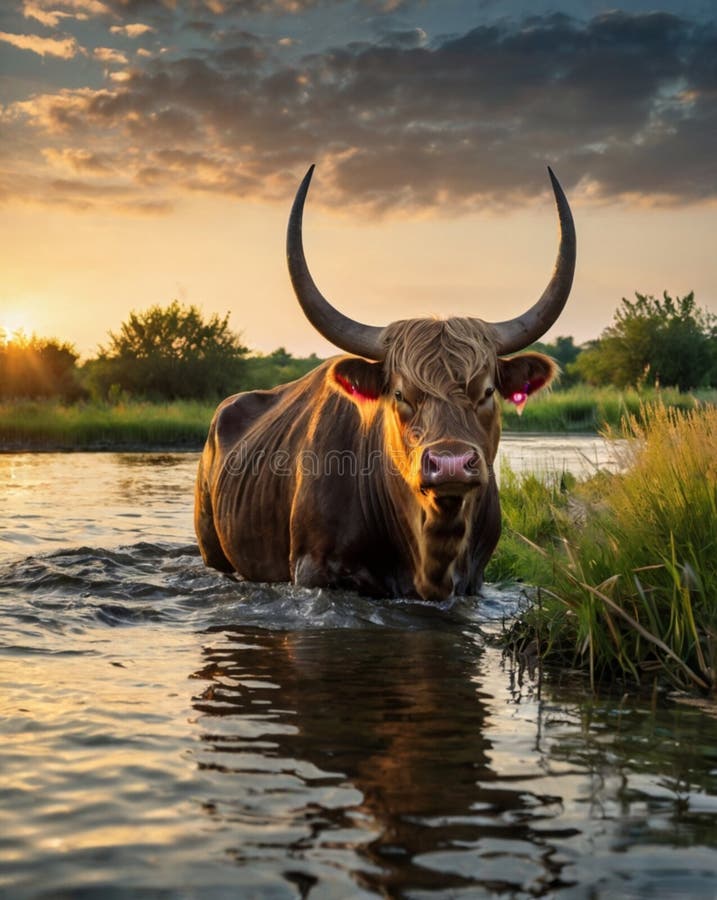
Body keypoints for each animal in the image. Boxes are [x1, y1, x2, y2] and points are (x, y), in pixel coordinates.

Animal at [195, 166, 576, 601]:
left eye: (487, 391)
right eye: (399, 393)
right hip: (214, 553)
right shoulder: (313, 571)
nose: (450, 464)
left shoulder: (474, 581)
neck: (430, 553)